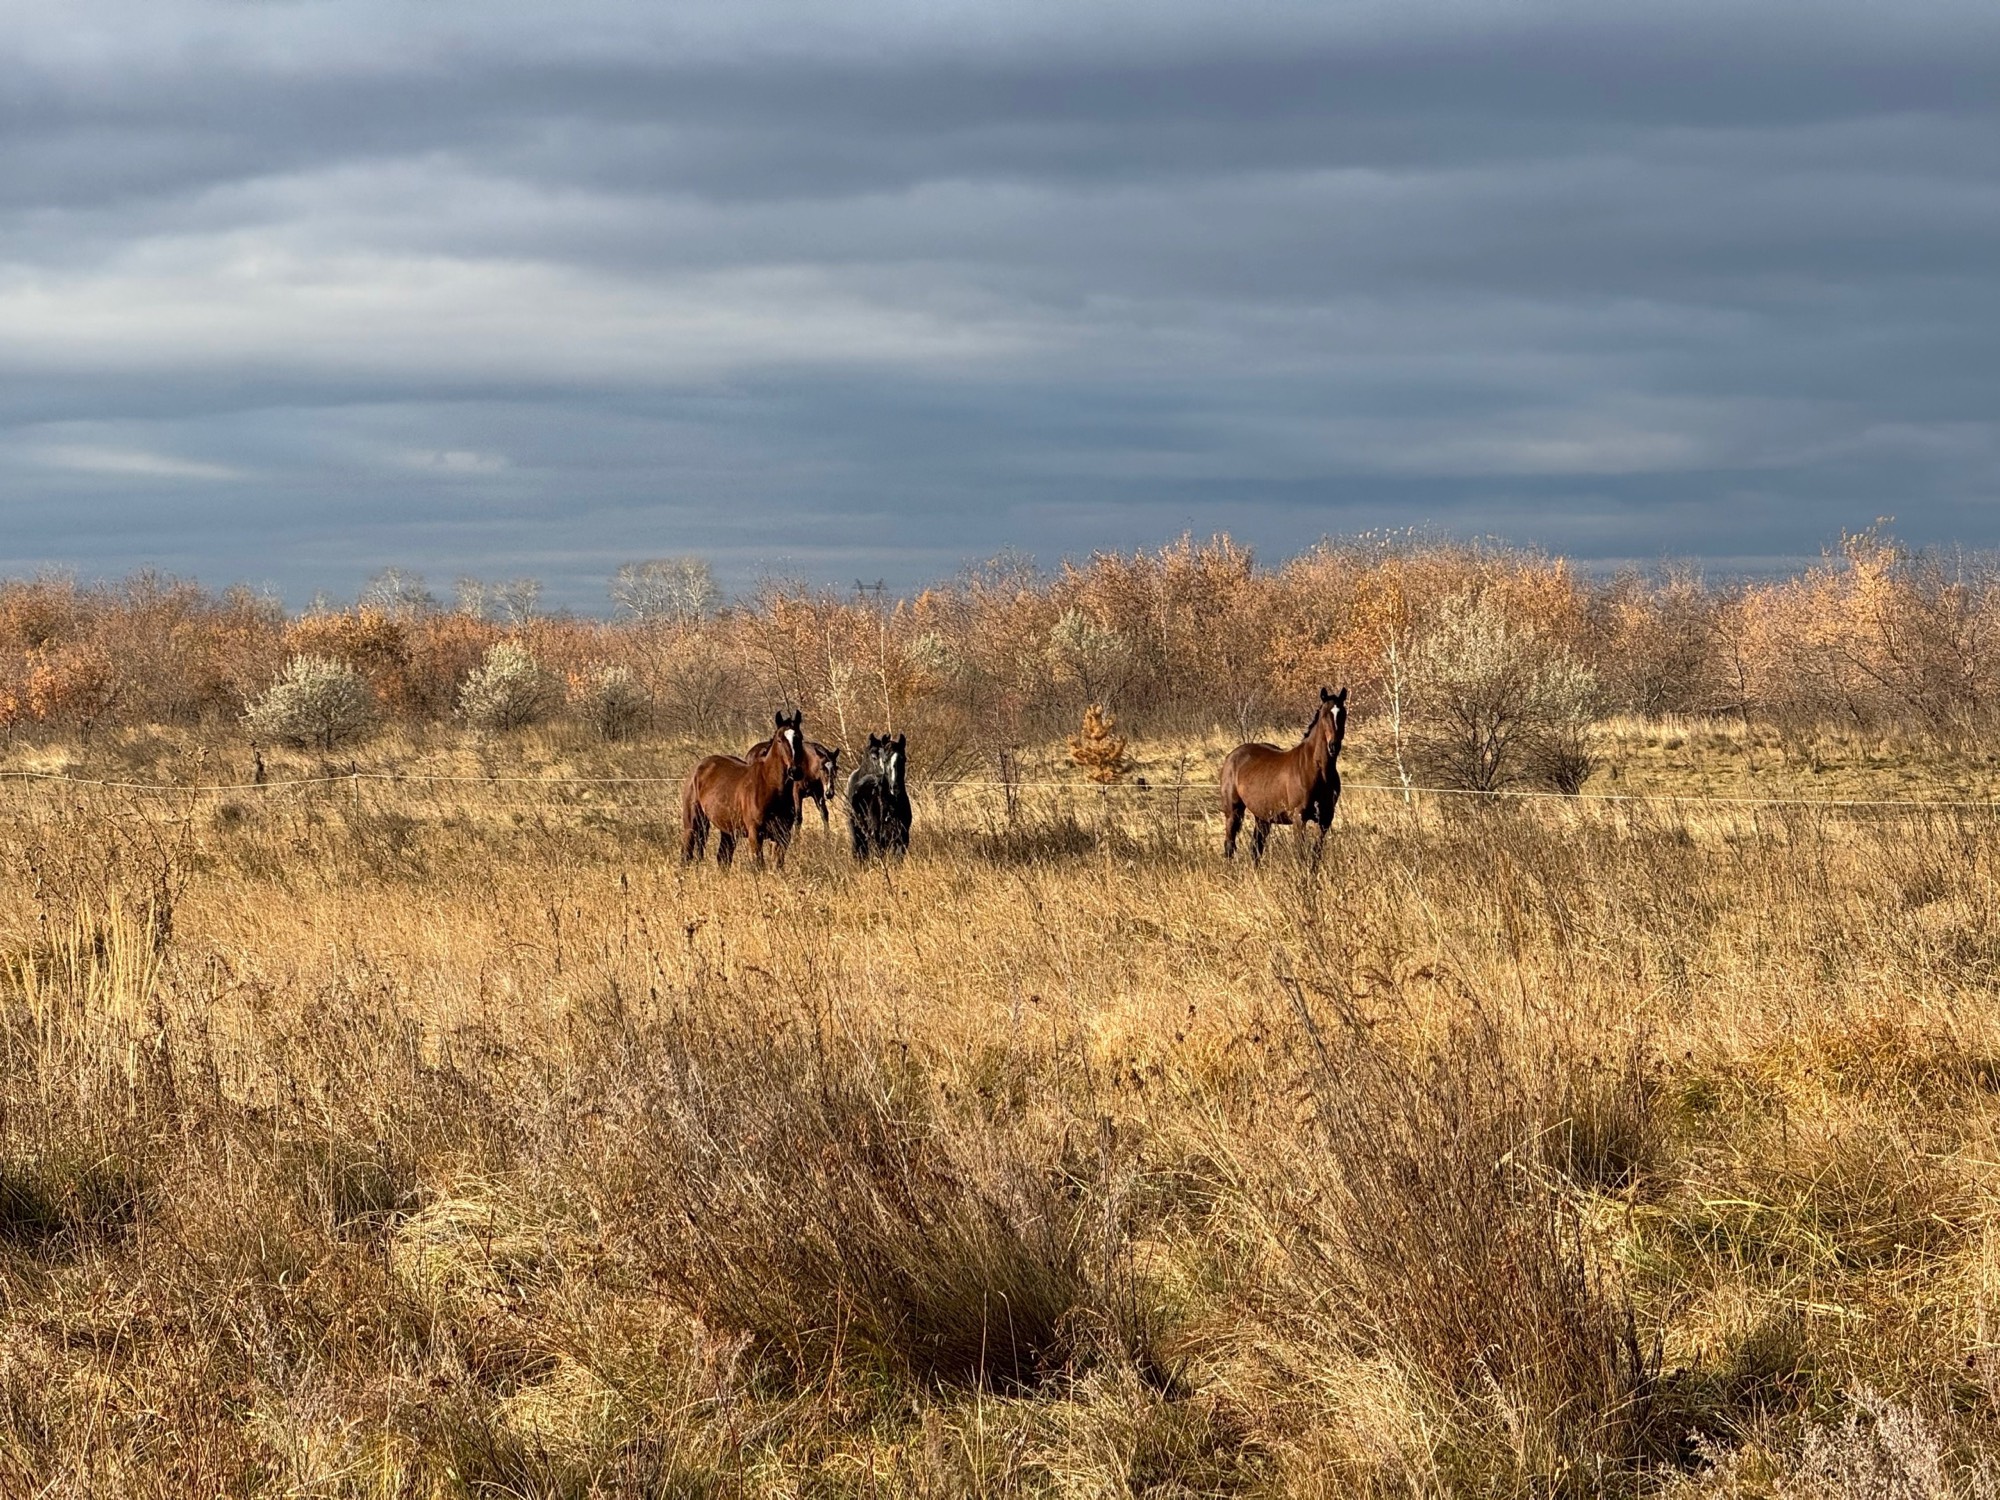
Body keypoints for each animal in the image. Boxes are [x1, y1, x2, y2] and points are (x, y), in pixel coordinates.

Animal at [684, 712, 808, 868]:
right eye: (779, 740)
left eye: (800, 738)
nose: (795, 771)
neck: (770, 786)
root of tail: (698, 766)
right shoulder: (755, 834)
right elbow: (759, 864)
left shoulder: (783, 835)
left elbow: (778, 864)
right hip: (692, 823)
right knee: (687, 854)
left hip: (728, 830)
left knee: (723, 858)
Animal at [1208, 688, 1352, 864]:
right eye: (1325, 714)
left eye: (1343, 713)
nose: (1334, 746)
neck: (1317, 770)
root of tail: (1231, 756)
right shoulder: (1299, 818)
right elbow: (1301, 855)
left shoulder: (1325, 819)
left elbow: (1315, 855)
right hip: (1233, 812)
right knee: (1230, 846)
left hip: (1262, 817)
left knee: (1256, 848)